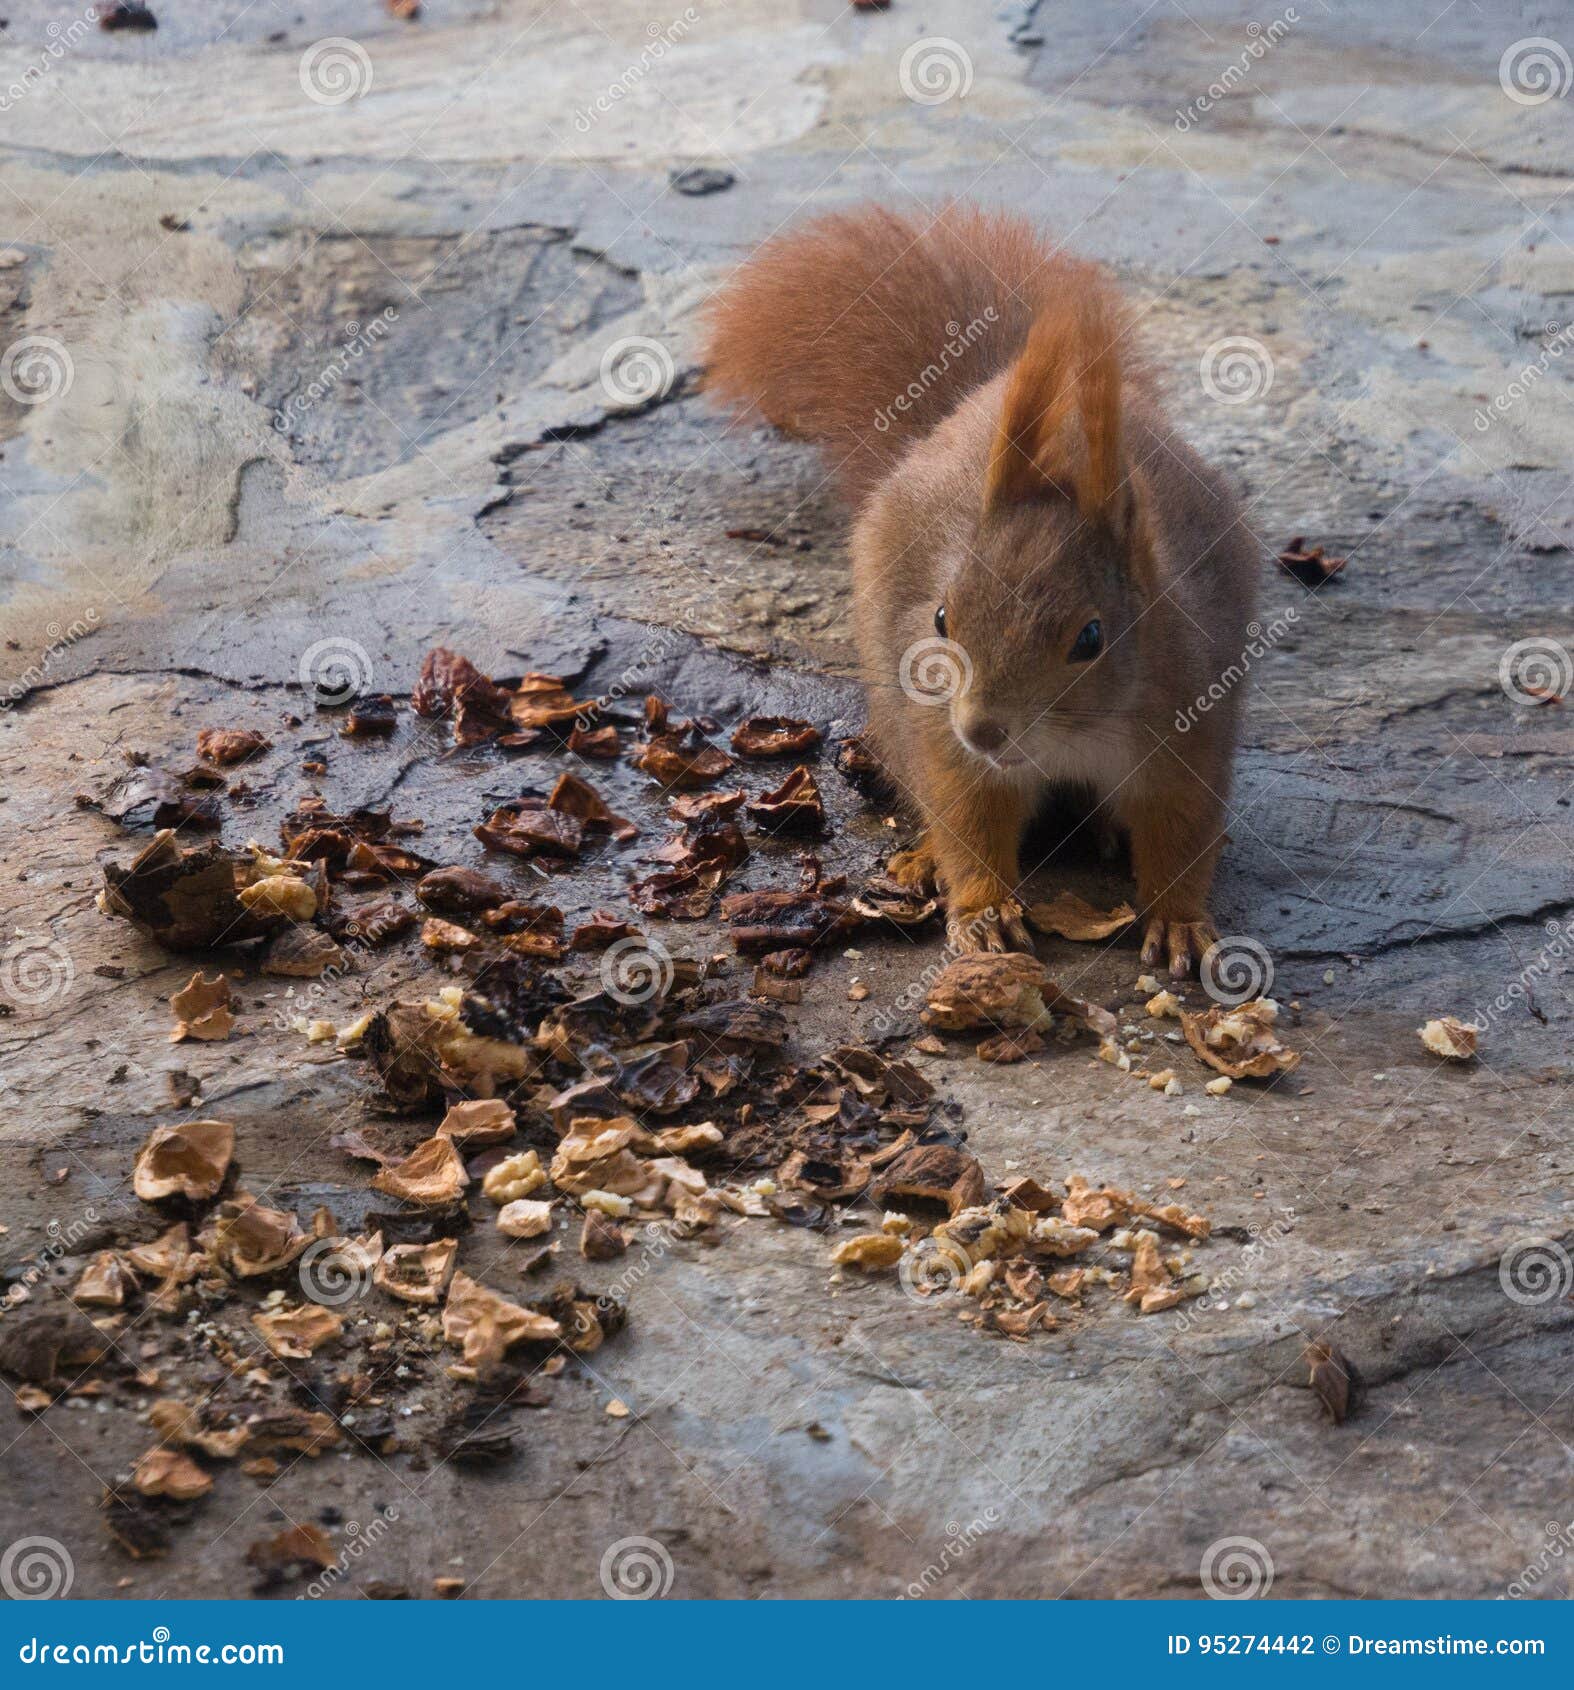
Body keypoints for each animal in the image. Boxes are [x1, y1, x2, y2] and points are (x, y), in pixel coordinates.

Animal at [703, 205, 1260, 977]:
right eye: (942, 617)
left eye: (1091, 638)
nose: (984, 730)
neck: (1072, 738)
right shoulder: (950, 739)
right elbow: (968, 817)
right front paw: (982, 911)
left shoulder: (1188, 722)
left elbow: (1181, 831)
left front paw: (1179, 920)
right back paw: (923, 859)